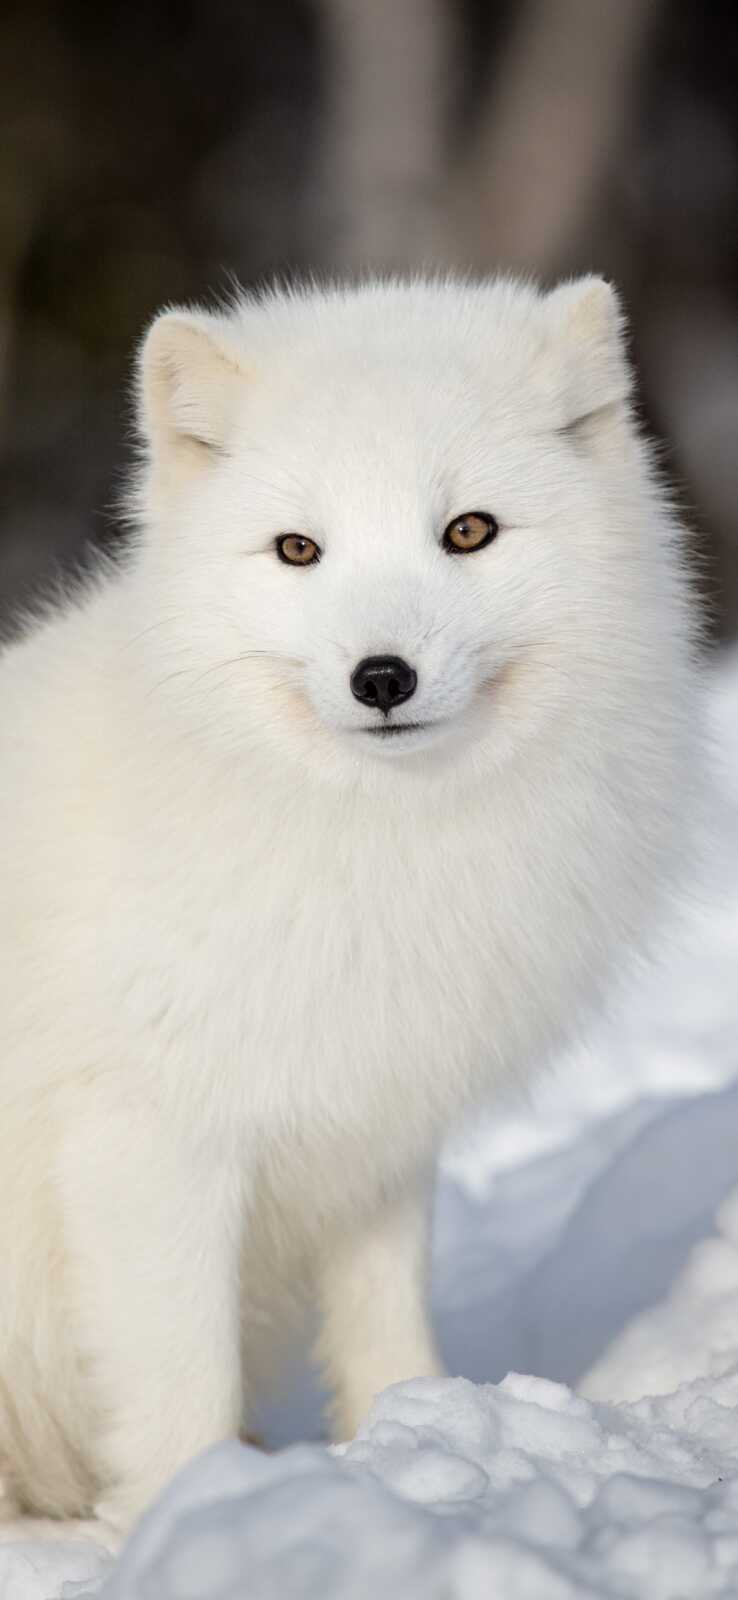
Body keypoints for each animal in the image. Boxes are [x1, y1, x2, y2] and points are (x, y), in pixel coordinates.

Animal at [0, 274, 700, 1539]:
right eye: (298, 549)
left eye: (467, 530)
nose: (383, 677)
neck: (370, 848)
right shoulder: (149, 1143)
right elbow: (177, 1382)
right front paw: (189, 1515)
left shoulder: (376, 1127)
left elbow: (387, 1326)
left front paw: (417, 1445)